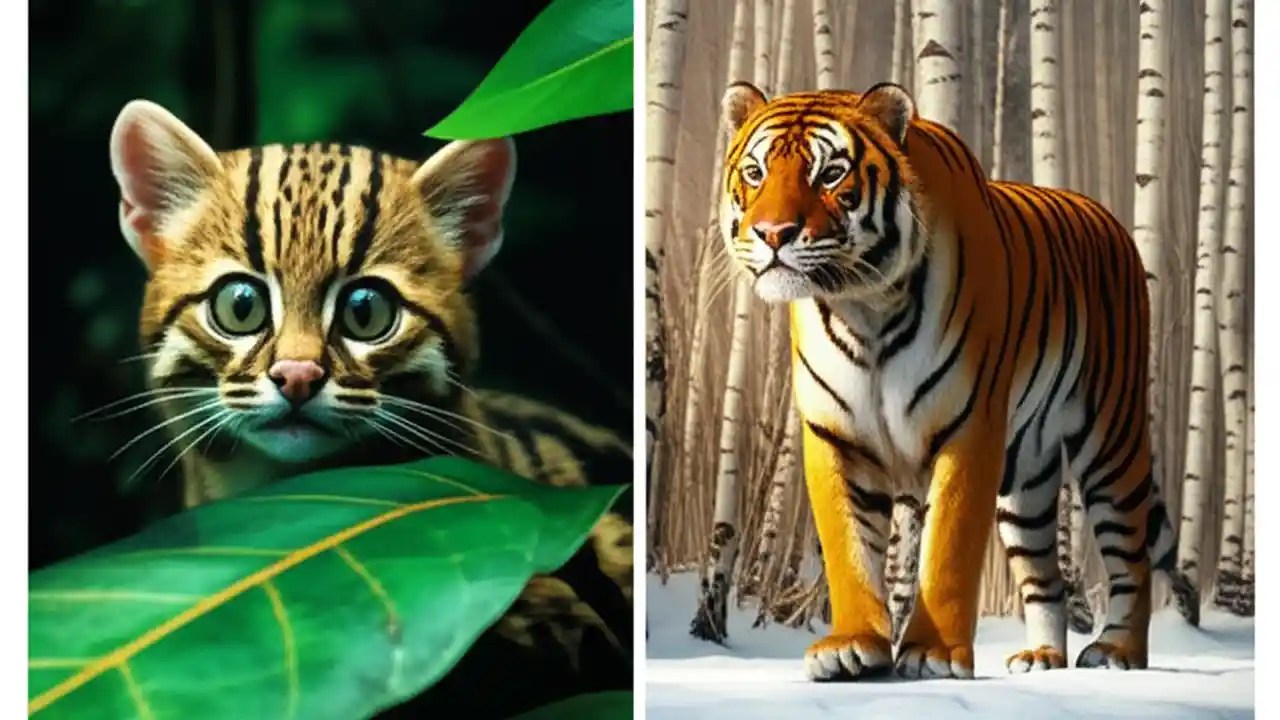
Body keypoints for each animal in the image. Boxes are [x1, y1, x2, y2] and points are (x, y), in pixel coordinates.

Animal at [717, 81, 1197, 680]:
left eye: (830, 174)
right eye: (755, 172)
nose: (773, 233)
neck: (864, 308)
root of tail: (1106, 217)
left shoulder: (968, 432)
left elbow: (946, 548)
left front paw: (934, 654)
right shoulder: (836, 438)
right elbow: (849, 550)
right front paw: (851, 646)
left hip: (1111, 436)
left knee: (1130, 551)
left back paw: (1117, 651)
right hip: (1026, 478)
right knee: (1045, 576)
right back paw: (1043, 657)